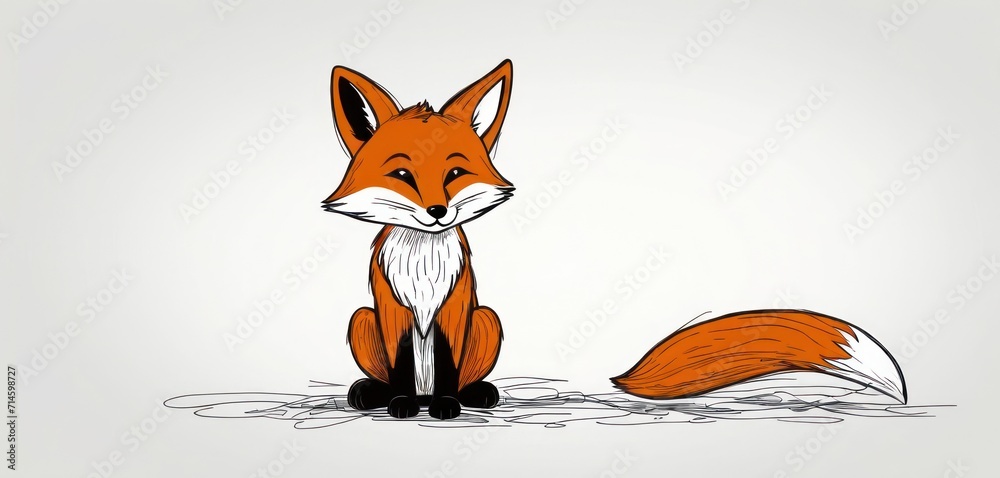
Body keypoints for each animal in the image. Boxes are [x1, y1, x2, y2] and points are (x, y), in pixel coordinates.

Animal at [322, 59, 907, 419]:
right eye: (402, 175)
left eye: (454, 173)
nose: (437, 212)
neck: (422, 264)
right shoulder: (392, 308)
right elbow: (402, 363)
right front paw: (403, 401)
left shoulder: (454, 308)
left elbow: (444, 364)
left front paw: (444, 404)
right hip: (359, 320)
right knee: (379, 371)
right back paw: (374, 393)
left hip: (488, 320)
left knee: (468, 374)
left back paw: (472, 394)